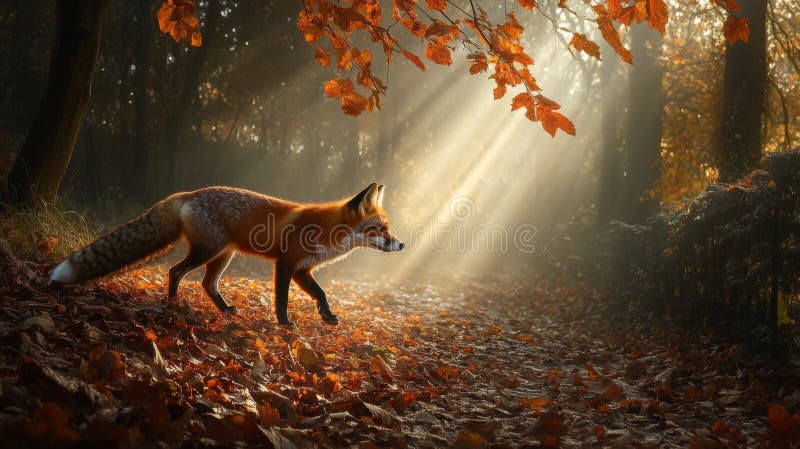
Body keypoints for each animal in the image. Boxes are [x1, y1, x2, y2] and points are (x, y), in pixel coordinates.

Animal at [49, 183, 404, 327]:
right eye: (382, 228)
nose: (401, 245)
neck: (328, 232)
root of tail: (188, 193)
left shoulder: (303, 270)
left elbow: (321, 294)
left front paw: (327, 316)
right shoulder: (286, 263)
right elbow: (282, 299)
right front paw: (284, 323)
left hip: (222, 256)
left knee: (207, 284)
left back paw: (224, 310)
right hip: (207, 251)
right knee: (175, 271)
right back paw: (173, 303)